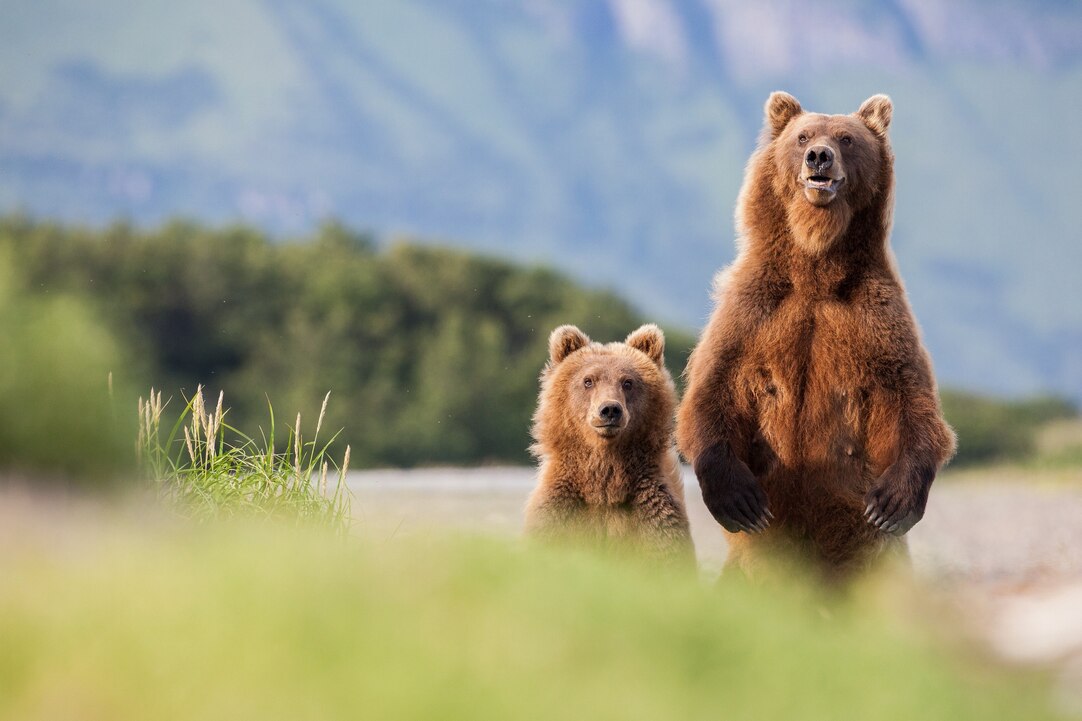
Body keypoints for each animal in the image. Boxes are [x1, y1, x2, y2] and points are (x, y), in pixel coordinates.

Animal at [676, 92, 956, 579]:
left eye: (846, 138)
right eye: (803, 136)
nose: (819, 156)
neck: (815, 265)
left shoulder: (876, 318)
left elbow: (911, 399)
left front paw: (894, 503)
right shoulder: (754, 312)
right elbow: (714, 390)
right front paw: (740, 500)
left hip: (862, 541)